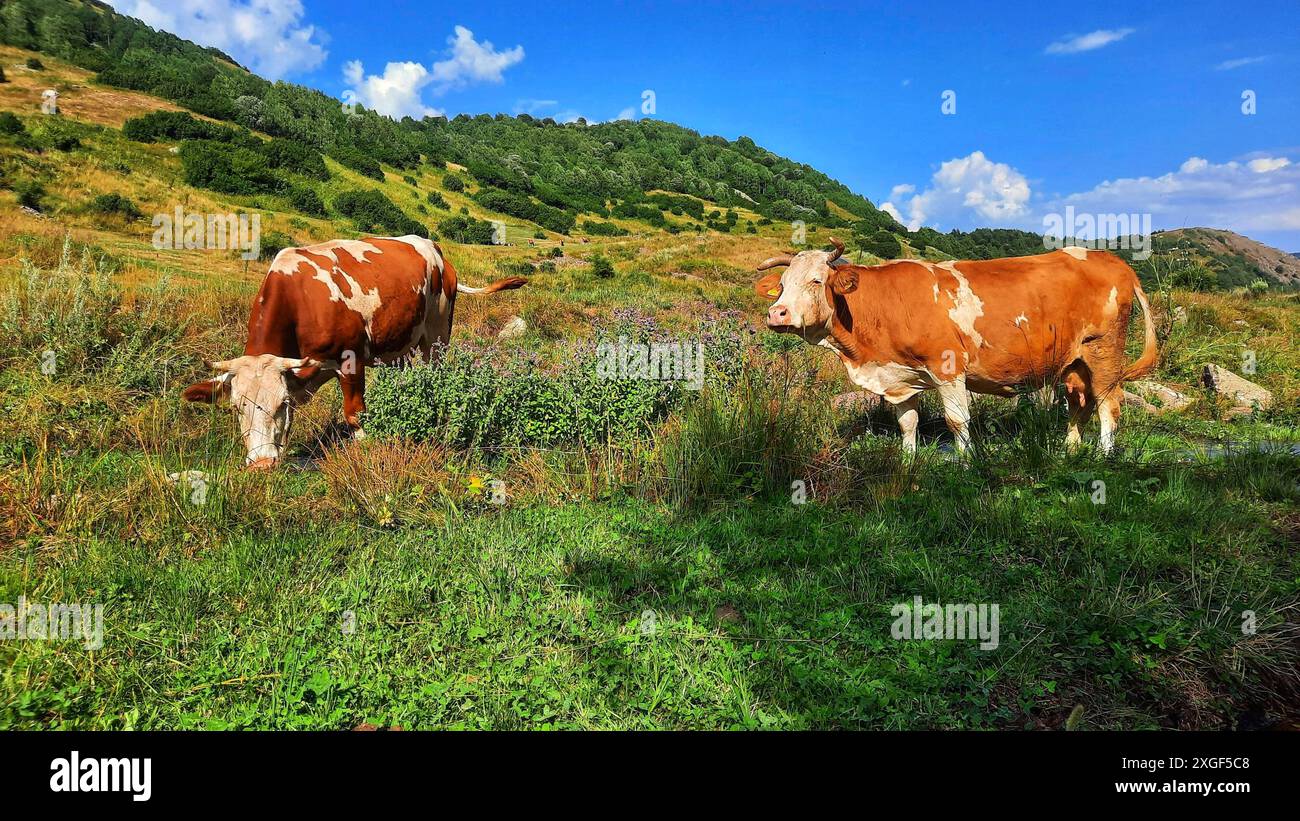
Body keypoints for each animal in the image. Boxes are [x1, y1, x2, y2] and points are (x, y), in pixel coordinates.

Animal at [183, 235, 526, 468]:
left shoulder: (351, 360)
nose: (262, 464)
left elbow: (354, 413)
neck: (300, 301)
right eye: (236, 407)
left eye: (280, 403)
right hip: (398, 345)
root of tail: (431, 246)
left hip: (437, 335)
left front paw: (366, 448)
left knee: (435, 371)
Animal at [754, 238, 1156, 454]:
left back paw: (1103, 456)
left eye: (816, 280)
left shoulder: (947, 367)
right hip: (1073, 363)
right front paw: (907, 462)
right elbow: (907, 423)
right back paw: (1067, 451)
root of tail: (1114, 260)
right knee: (1080, 404)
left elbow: (957, 420)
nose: (777, 313)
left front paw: (964, 464)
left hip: (1103, 352)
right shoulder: (902, 377)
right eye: (782, 285)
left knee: (1109, 404)